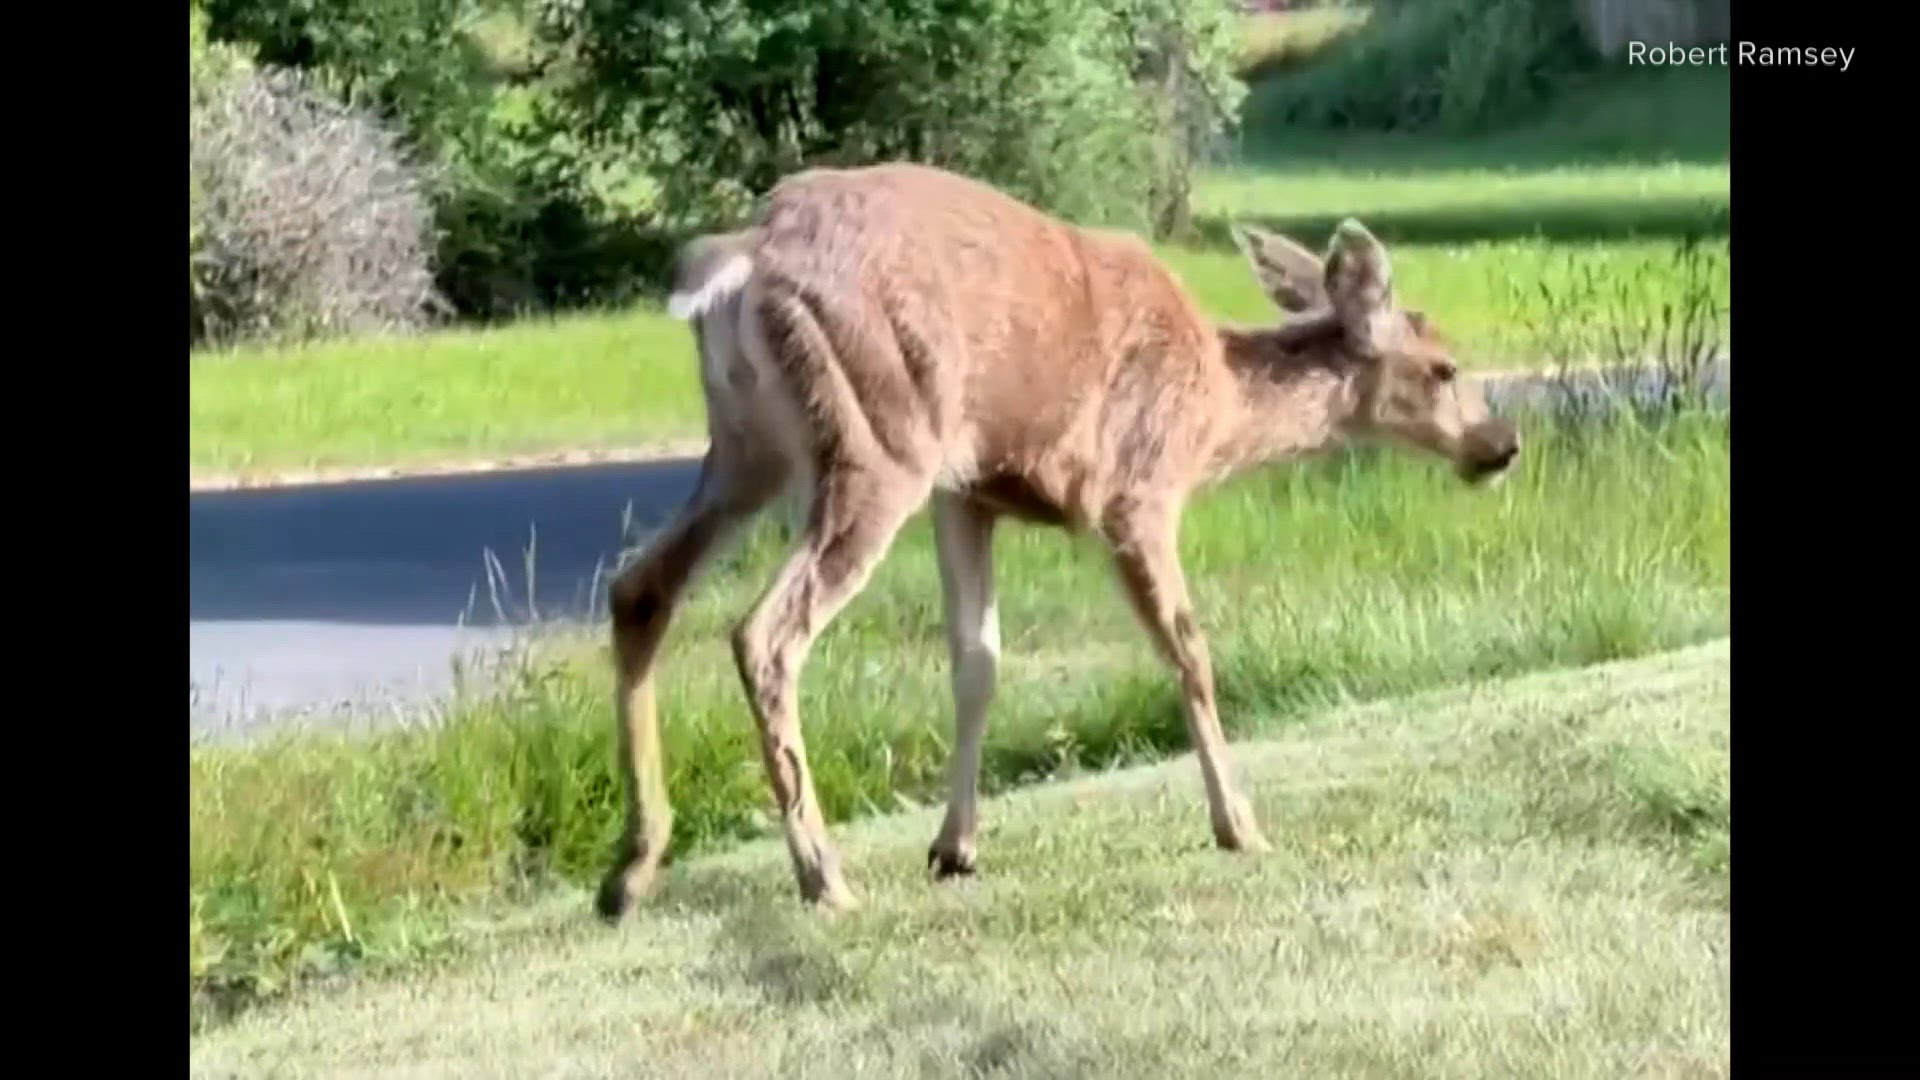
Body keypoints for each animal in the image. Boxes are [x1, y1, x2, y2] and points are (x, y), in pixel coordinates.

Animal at [596, 162, 1520, 918]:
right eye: (1443, 368)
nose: (1501, 443)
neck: (1217, 407)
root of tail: (745, 259)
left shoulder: (967, 492)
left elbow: (978, 662)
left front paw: (955, 848)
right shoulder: (1137, 491)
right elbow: (1188, 649)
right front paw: (1240, 824)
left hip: (751, 445)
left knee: (640, 585)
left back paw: (631, 870)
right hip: (878, 434)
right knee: (765, 631)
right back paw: (822, 875)